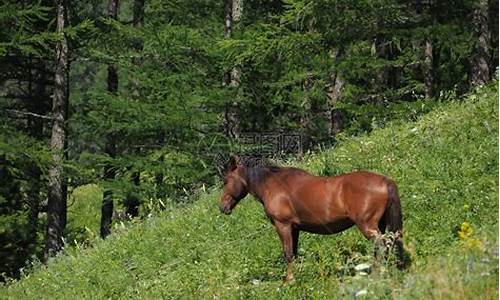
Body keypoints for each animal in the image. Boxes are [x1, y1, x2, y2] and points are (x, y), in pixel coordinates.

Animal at [220, 156, 406, 282]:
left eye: (226, 181)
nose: (222, 207)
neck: (274, 185)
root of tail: (385, 181)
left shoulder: (283, 226)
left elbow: (288, 254)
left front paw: (290, 280)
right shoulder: (294, 228)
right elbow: (294, 253)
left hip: (367, 226)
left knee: (381, 246)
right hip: (380, 224)